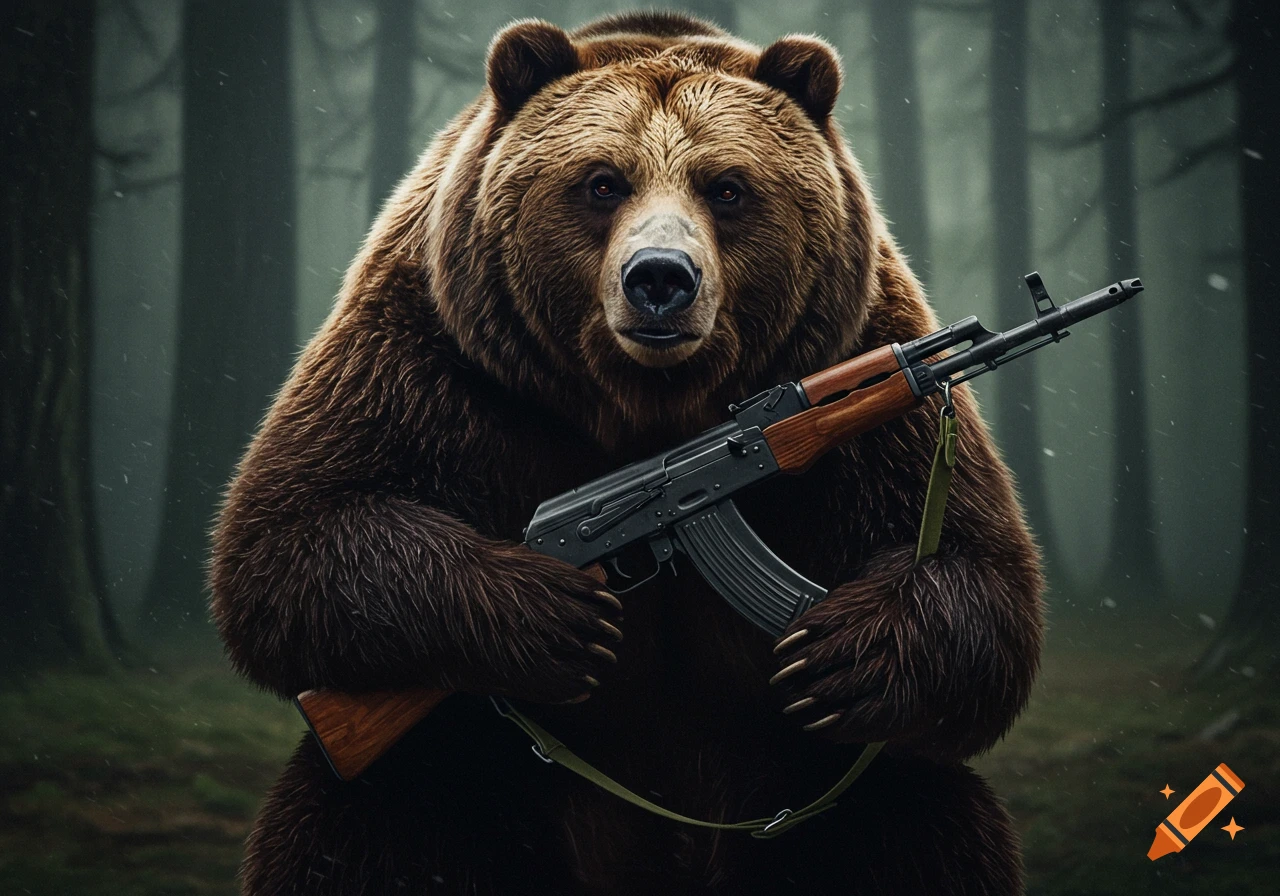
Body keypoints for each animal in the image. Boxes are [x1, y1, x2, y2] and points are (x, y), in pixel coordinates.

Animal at [210, 11, 1044, 895]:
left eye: (728, 187)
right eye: (602, 181)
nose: (661, 279)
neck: (645, 407)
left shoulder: (862, 343)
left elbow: (979, 570)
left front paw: (841, 654)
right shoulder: (429, 351)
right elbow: (291, 535)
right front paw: (552, 616)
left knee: (917, 817)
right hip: (463, 783)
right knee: (364, 822)